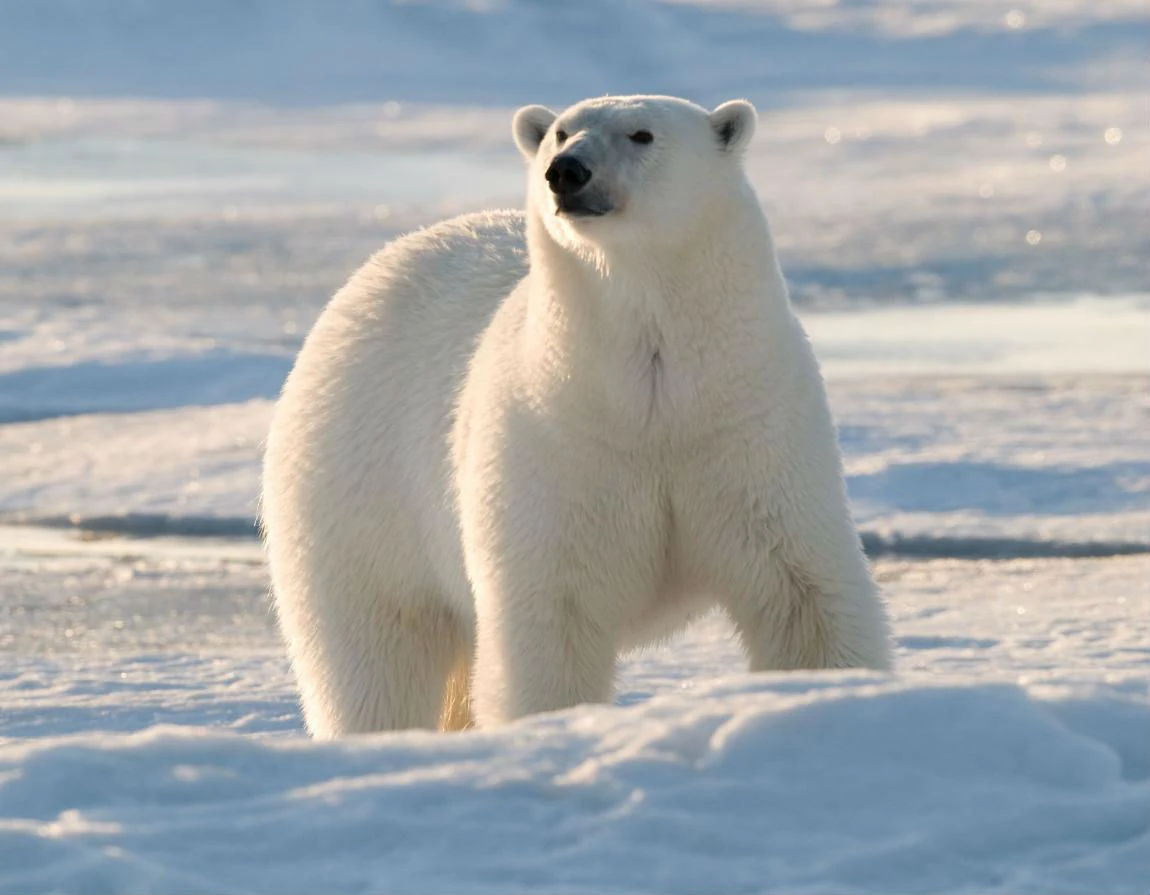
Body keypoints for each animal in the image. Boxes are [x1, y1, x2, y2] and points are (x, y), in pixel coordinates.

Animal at [261, 94, 892, 738]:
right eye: (561, 132)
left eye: (642, 134)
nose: (566, 171)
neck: (652, 399)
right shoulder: (555, 445)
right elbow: (551, 619)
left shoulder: (751, 426)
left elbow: (801, 590)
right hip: (360, 493)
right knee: (376, 654)